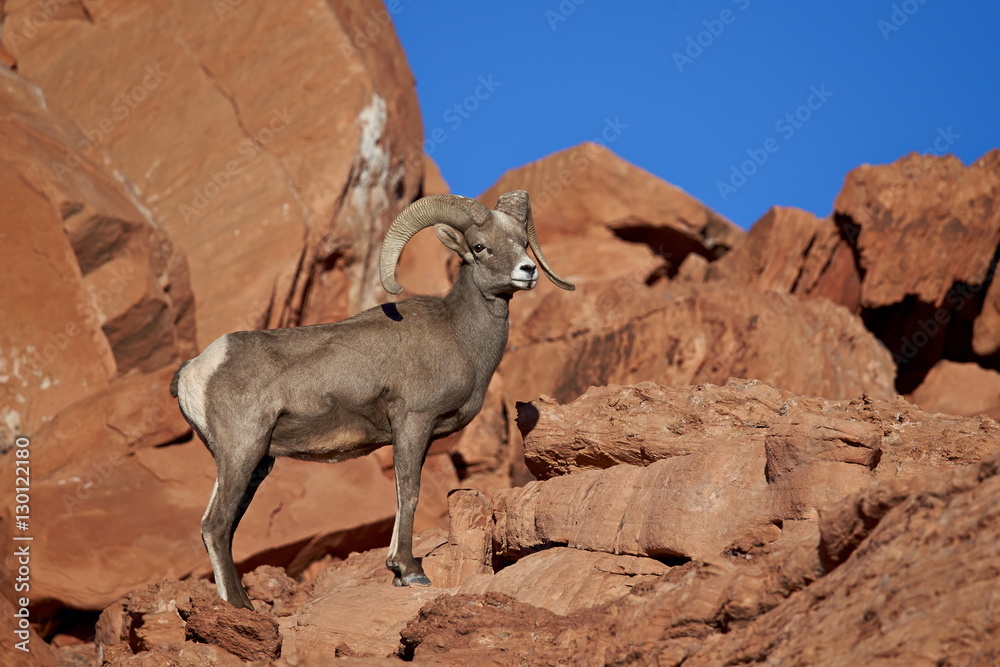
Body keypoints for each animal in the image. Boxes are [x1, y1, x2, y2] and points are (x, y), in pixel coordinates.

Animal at [170, 190, 574, 610]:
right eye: (480, 247)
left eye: (523, 242)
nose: (528, 271)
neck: (460, 336)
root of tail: (195, 370)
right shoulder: (413, 421)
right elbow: (409, 492)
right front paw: (410, 572)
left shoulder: (417, 435)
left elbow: (401, 493)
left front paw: (397, 571)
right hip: (242, 452)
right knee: (216, 525)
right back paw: (237, 606)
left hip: (254, 463)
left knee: (223, 525)